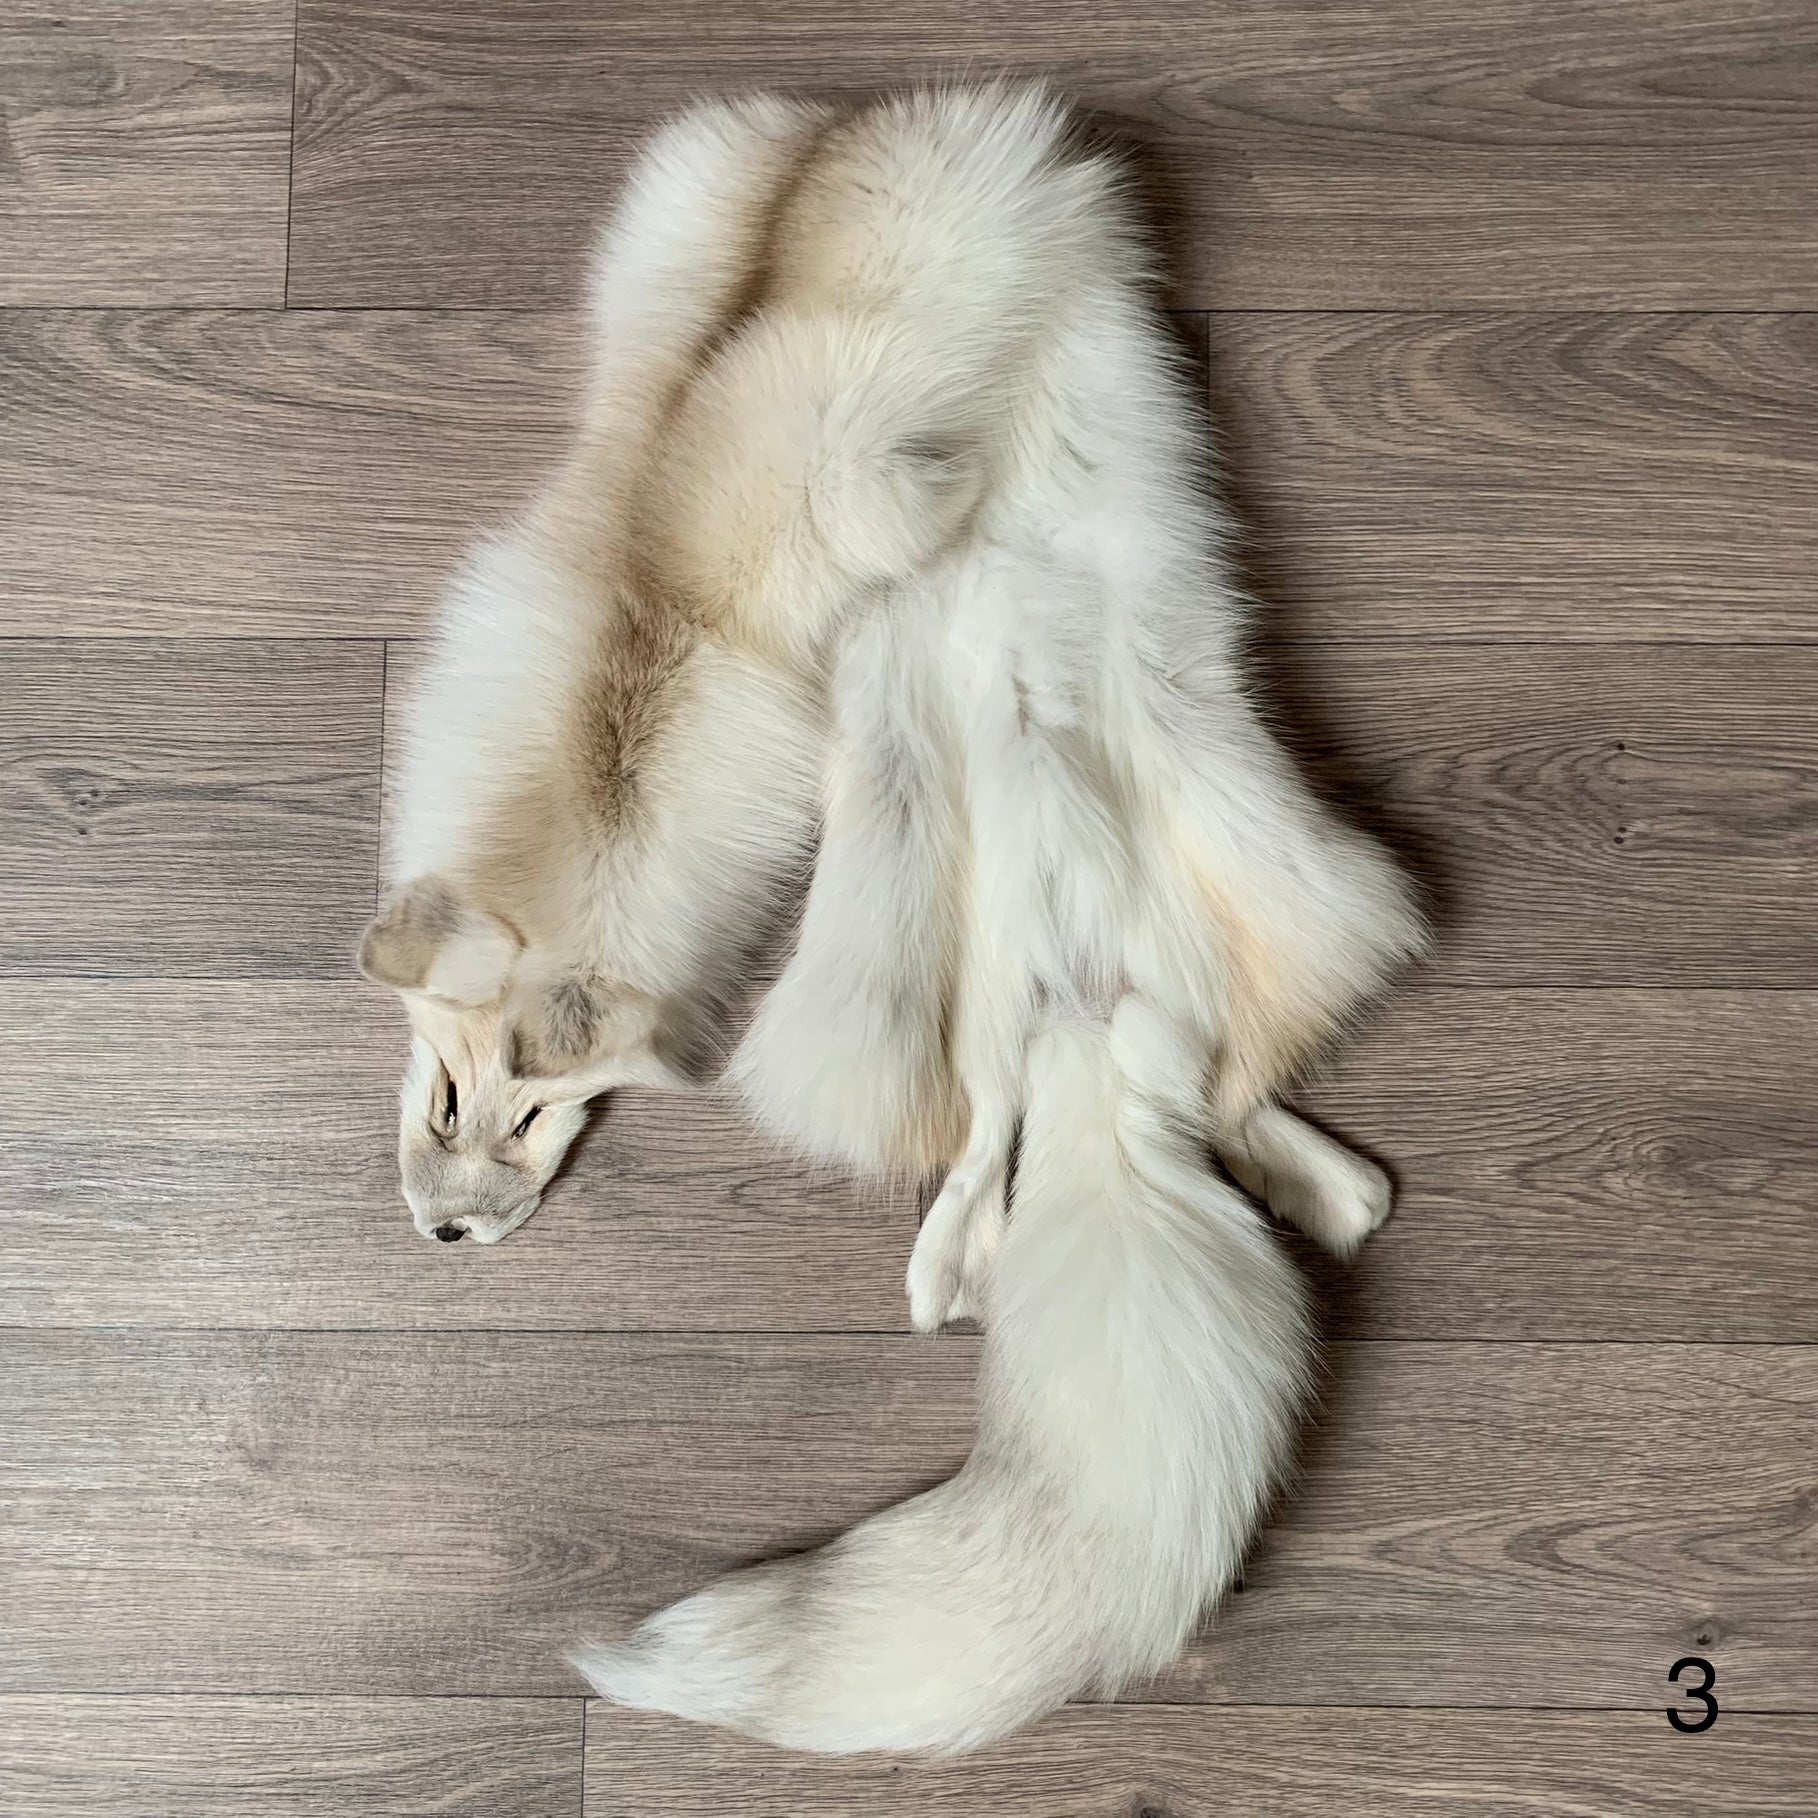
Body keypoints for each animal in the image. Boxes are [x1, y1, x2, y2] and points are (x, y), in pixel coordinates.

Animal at [358, 88, 1422, 1752]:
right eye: (449, 1094)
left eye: (535, 1114)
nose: (451, 1235)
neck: (632, 665)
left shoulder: (839, 486)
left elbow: (885, 492)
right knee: (1114, 1120)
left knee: (1188, 1098)